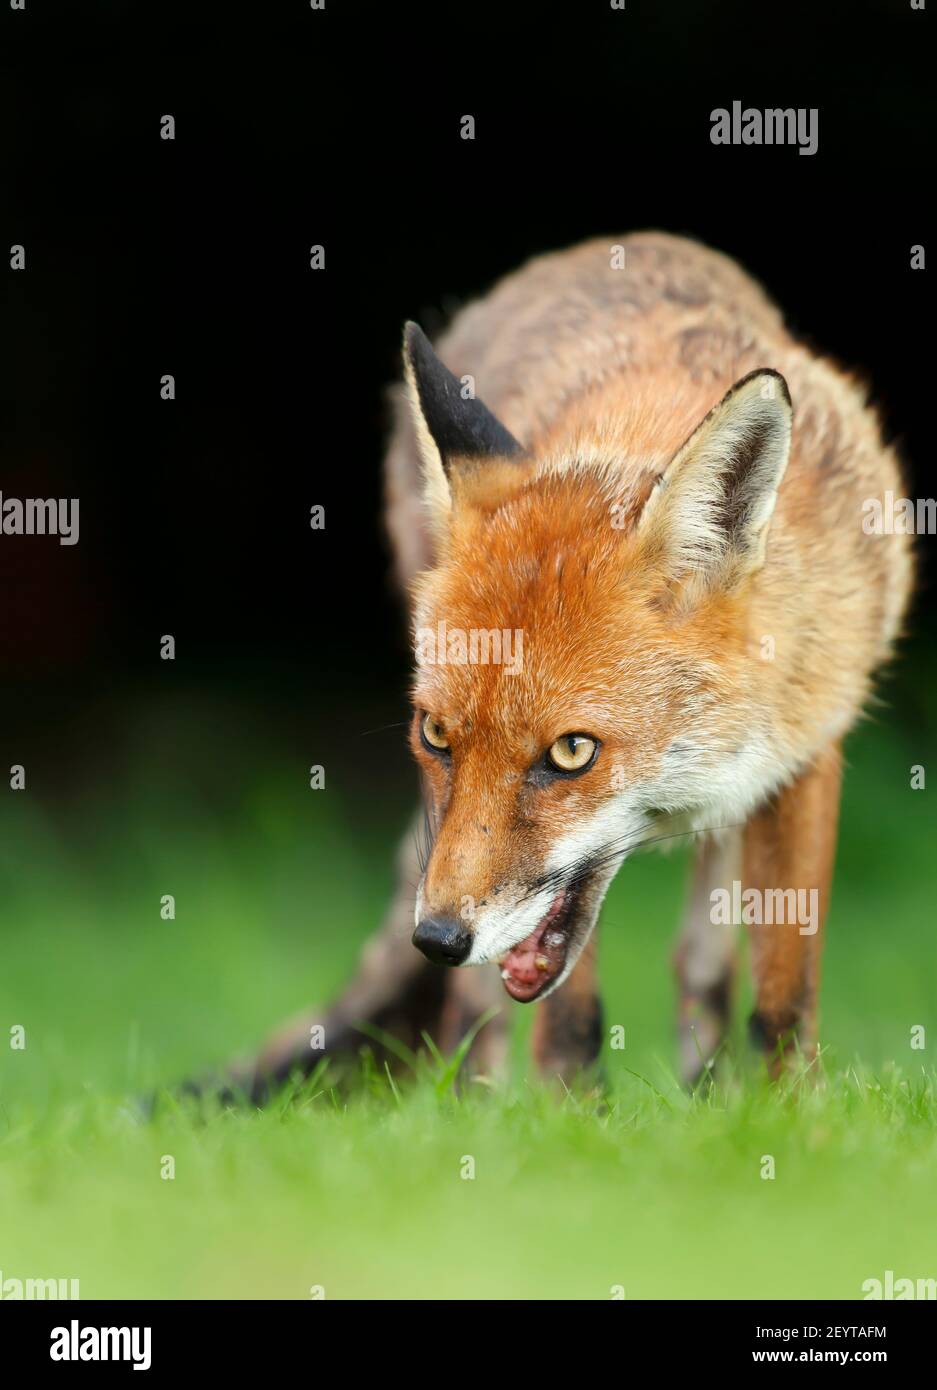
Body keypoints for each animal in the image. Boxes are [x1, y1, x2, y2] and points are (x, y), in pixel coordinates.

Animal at [206, 232, 913, 1101]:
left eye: (571, 752)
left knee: (699, 959)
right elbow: (565, 1015)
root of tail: (598, 249)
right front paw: (566, 1118)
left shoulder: (806, 750)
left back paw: (703, 1090)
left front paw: (786, 1112)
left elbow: (784, 987)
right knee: (473, 1012)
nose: (436, 938)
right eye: (436, 735)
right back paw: (478, 1103)